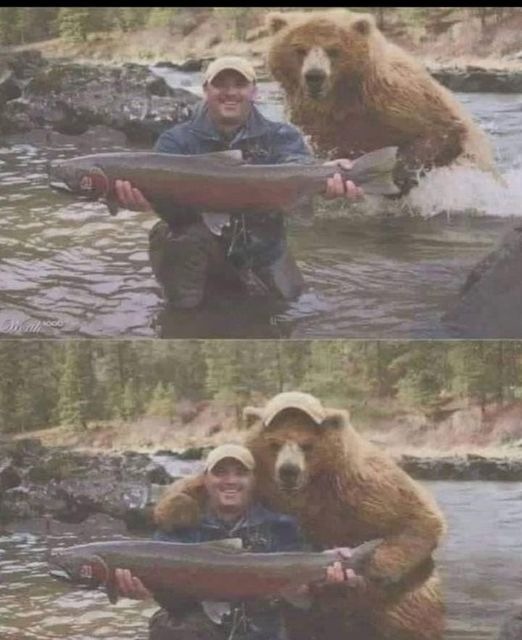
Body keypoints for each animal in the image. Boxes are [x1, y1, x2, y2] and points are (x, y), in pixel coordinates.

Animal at [154, 392, 447, 640]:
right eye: (275, 443)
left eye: (307, 445)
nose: (288, 470)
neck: (306, 493)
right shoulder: (263, 482)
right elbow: (189, 488)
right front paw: (178, 510)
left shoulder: (359, 486)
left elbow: (418, 517)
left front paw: (377, 566)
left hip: (405, 609)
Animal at [265, 9, 496, 194]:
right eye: (299, 49)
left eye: (333, 50)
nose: (315, 75)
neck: (343, 100)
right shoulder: (316, 122)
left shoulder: (398, 100)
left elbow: (442, 131)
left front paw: (398, 174)